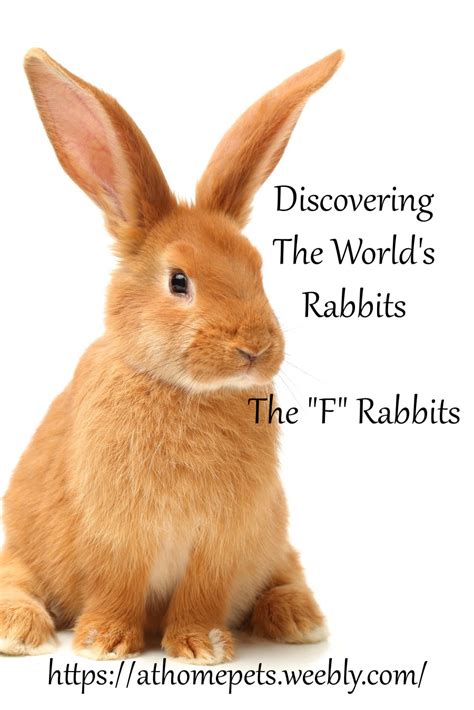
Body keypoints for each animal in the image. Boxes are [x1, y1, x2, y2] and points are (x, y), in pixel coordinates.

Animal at [0, 48, 343, 663]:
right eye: (178, 281)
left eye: (258, 268)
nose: (255, 348)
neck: (183, 391)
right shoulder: (116, 534)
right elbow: (116, 587)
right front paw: (103, 644)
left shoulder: (223, 540)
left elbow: (202, 594)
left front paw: (200, 646)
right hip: (23, 543)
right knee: (14, 578)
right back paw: (17, 632)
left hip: (275, 541)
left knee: (286, 573)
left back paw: (299, 619)